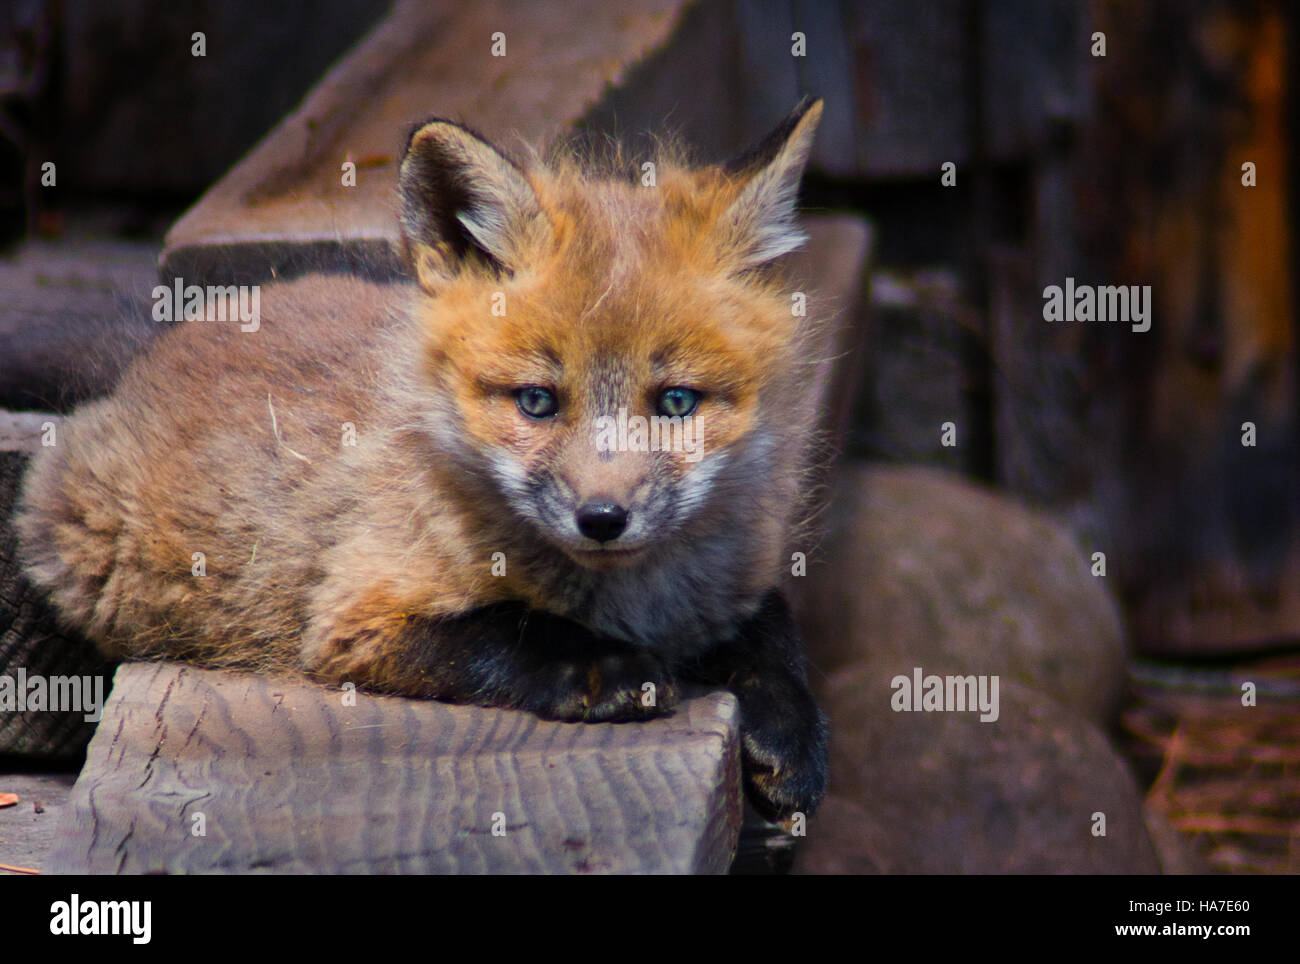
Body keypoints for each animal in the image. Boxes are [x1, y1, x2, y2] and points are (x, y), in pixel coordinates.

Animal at [16, 98, 830, 820]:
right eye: (537, 402)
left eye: (677, 402)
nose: (603, 518)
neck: (629, 598)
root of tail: (161, 346)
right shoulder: (354, 618)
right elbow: (508, 626)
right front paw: (607, 666)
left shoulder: (734, 582)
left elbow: (774, 631)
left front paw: (791, 732)